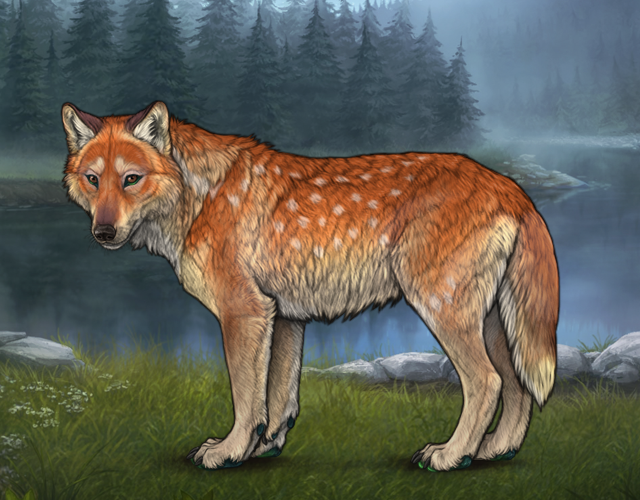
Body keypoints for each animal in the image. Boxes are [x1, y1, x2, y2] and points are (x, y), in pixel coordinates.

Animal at [61, 101, 558, 472]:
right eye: (93, 180)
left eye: (131, 179)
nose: (103, 232)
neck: (200, 195)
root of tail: (511, 187)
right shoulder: (284, 318)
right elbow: (278, 400)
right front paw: (262, 449)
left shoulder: (245, 313)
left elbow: (246, 398)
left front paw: (228, 452)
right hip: (492, 324)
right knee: (517, 386)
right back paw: (495, 450)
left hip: (444, 312)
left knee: (487, 383)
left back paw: (452, 456)